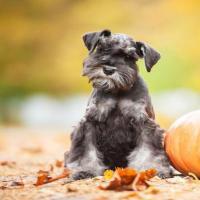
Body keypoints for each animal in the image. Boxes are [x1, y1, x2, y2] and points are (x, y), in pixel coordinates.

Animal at [64, 29, 173, 180]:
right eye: (102, 49)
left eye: (128, 56)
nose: (109, 69)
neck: (117, 91)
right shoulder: (89, 122)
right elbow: (85, 150)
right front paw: (86, 170)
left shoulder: (144, 123)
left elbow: (148, 149)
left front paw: (151, 169)